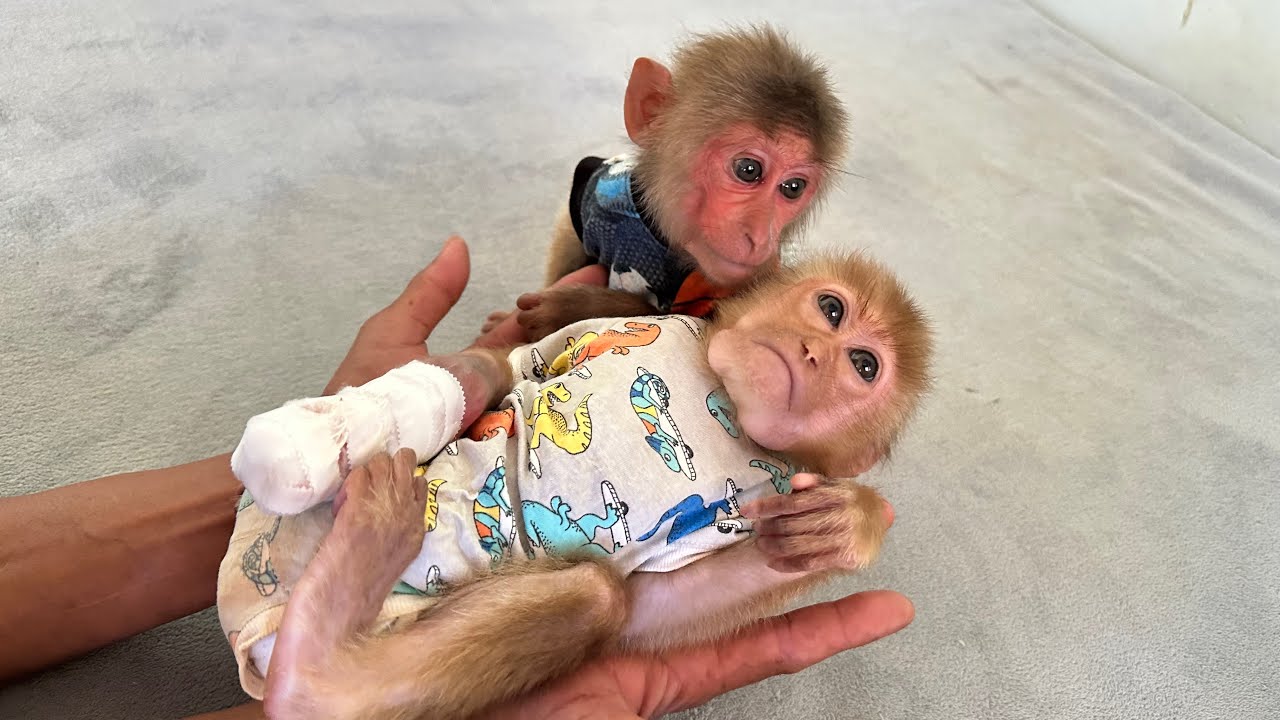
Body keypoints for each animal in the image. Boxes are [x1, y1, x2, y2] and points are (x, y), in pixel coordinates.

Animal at [218, 250, 931, 720]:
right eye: (831, 308)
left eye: (863, 366)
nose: (814, 352)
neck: (721, 390)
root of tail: (245, 602)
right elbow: (518, 366)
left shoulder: (747, 499)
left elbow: (652, 607)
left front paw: (847, 522)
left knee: (595, 593)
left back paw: (319, 656)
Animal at [480, 24, 851, 342]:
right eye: (748, 170)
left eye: (793, 188)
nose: (761, 236)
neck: (660, 236)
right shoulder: (596, 185)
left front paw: (574, 308)